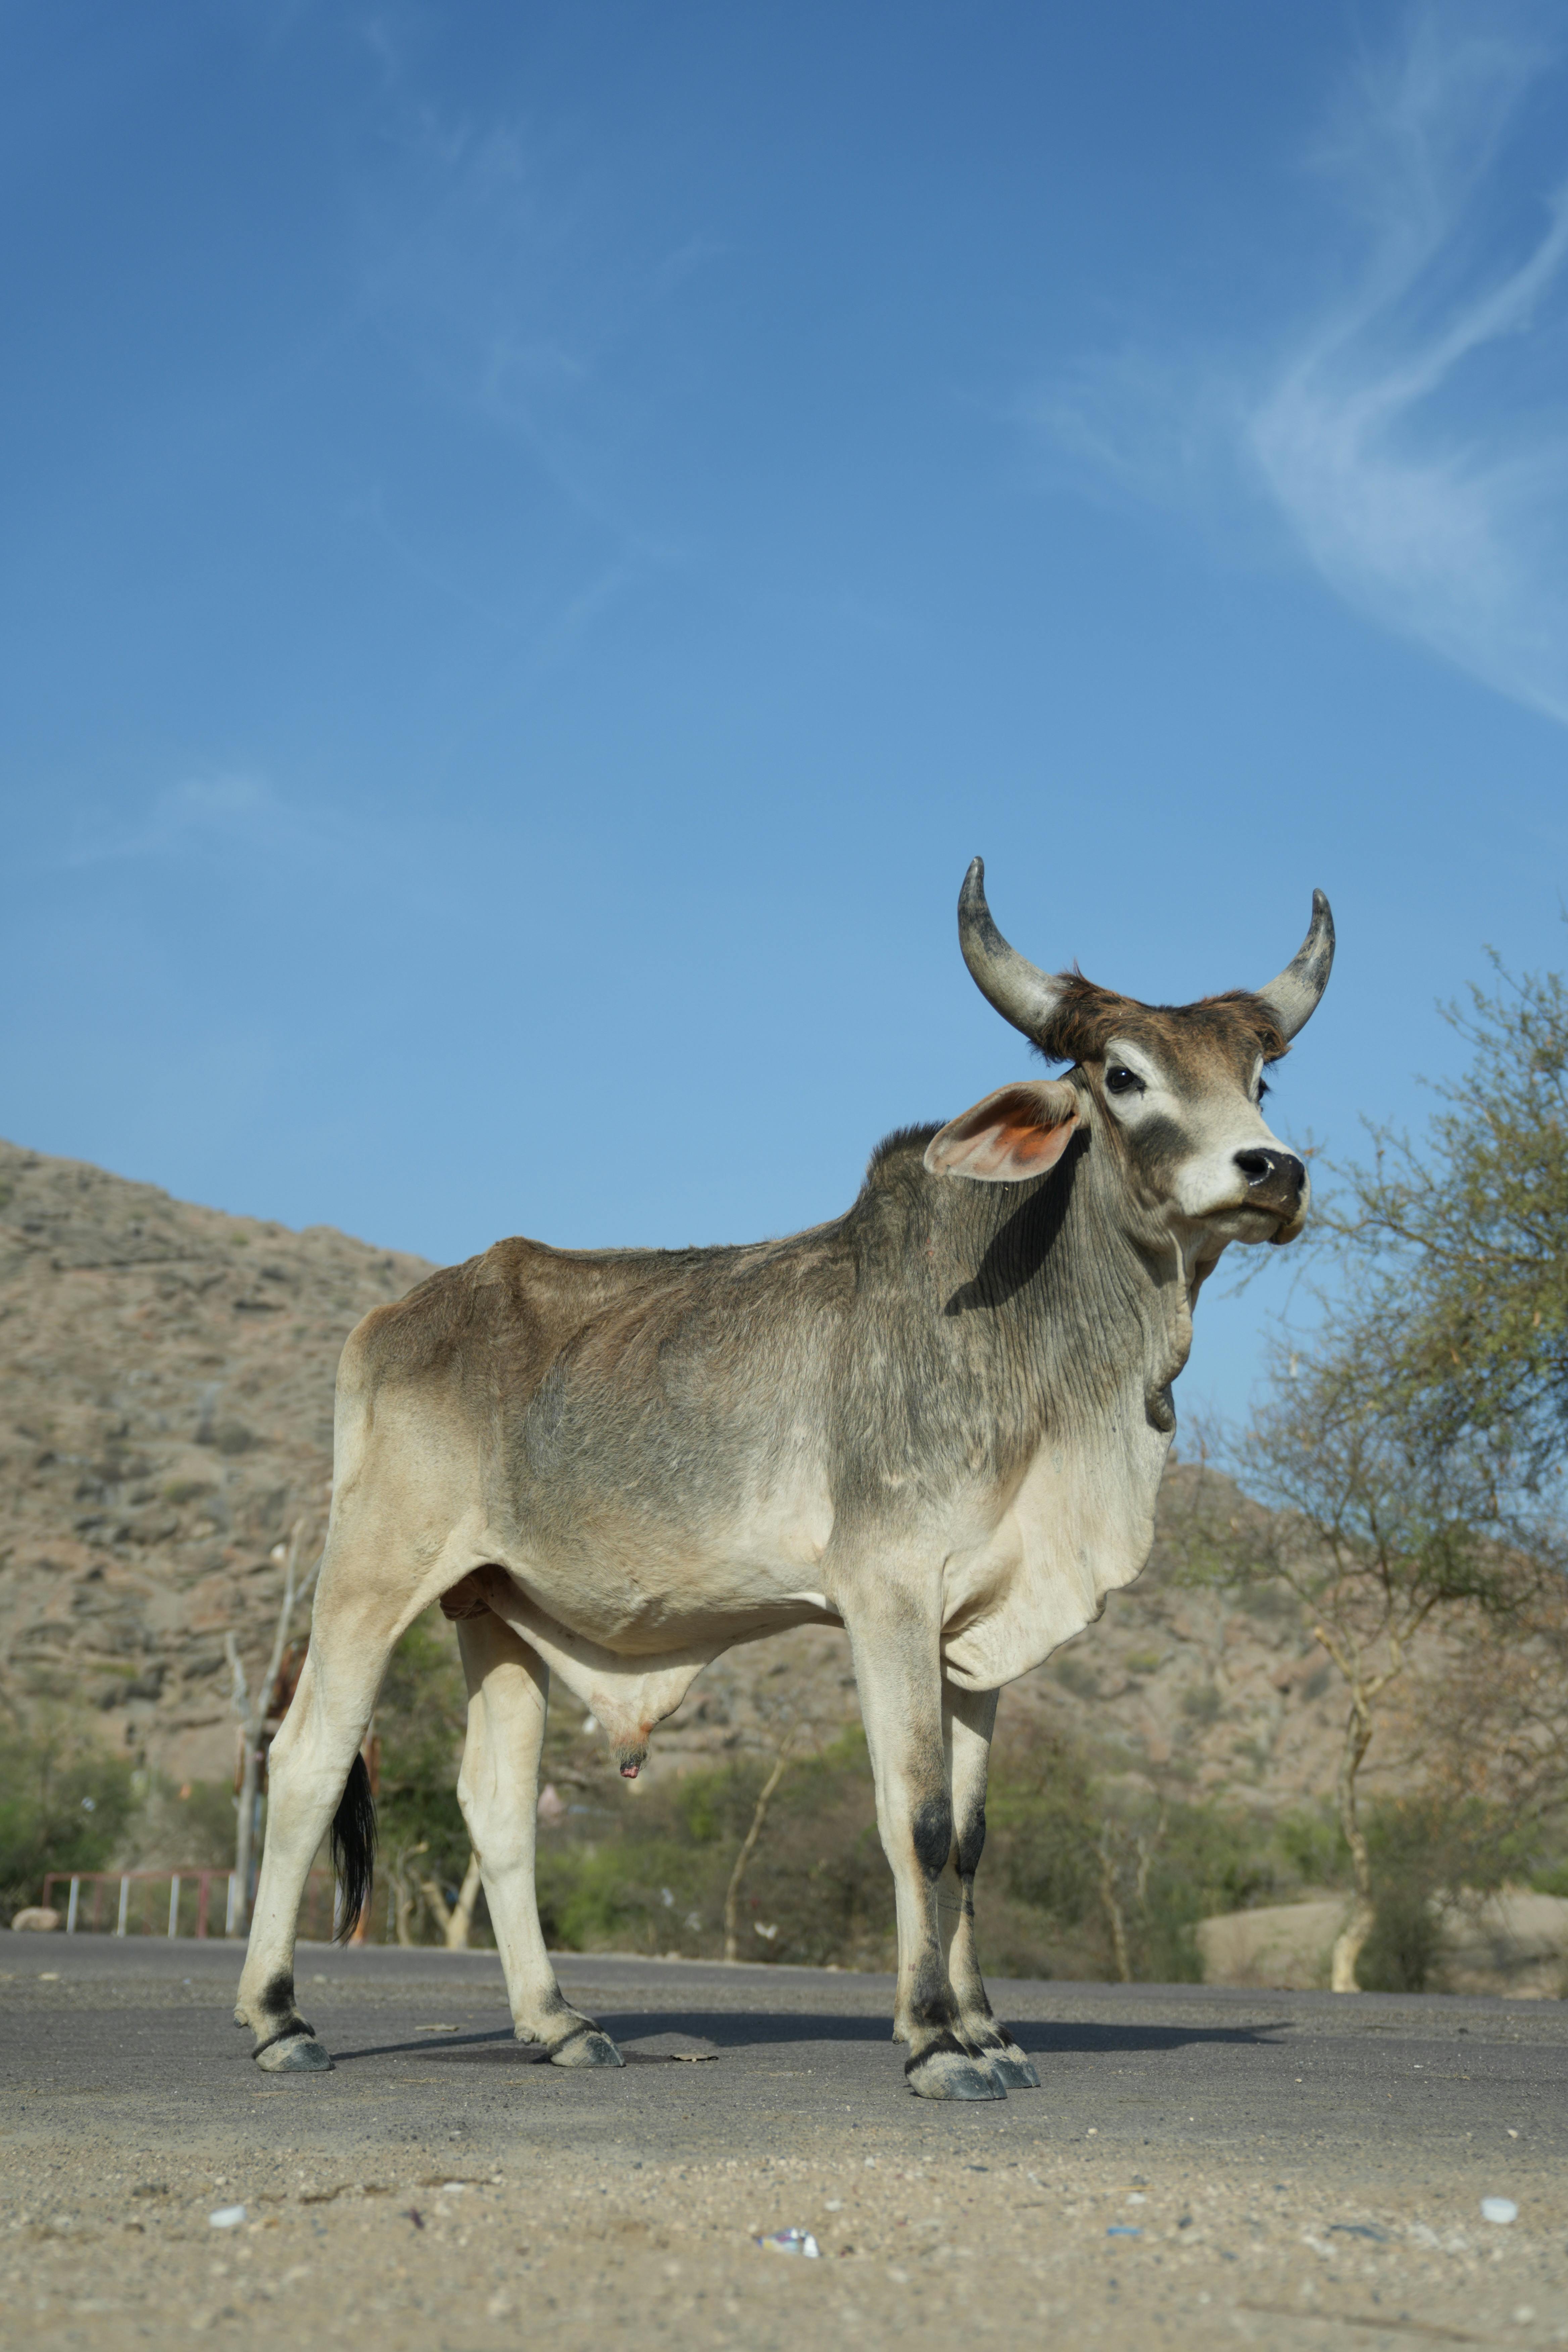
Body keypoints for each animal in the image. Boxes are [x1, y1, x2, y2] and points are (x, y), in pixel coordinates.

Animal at [234, 860, 1332, 2099]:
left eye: (1258, 1077)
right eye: (1123, 1074)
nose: (1273, 1169)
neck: (1048, 1360)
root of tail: (394, 1316)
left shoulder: (978, 1630)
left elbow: (970, 1836)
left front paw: (991, 2029)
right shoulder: (889, 1595)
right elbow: (916, 1817)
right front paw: (935, 2038)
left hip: (496, 1611)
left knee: (498, 1804)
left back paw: (557, 2021)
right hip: (373, 1574)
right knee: (307, 1759)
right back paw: (278, 2016)